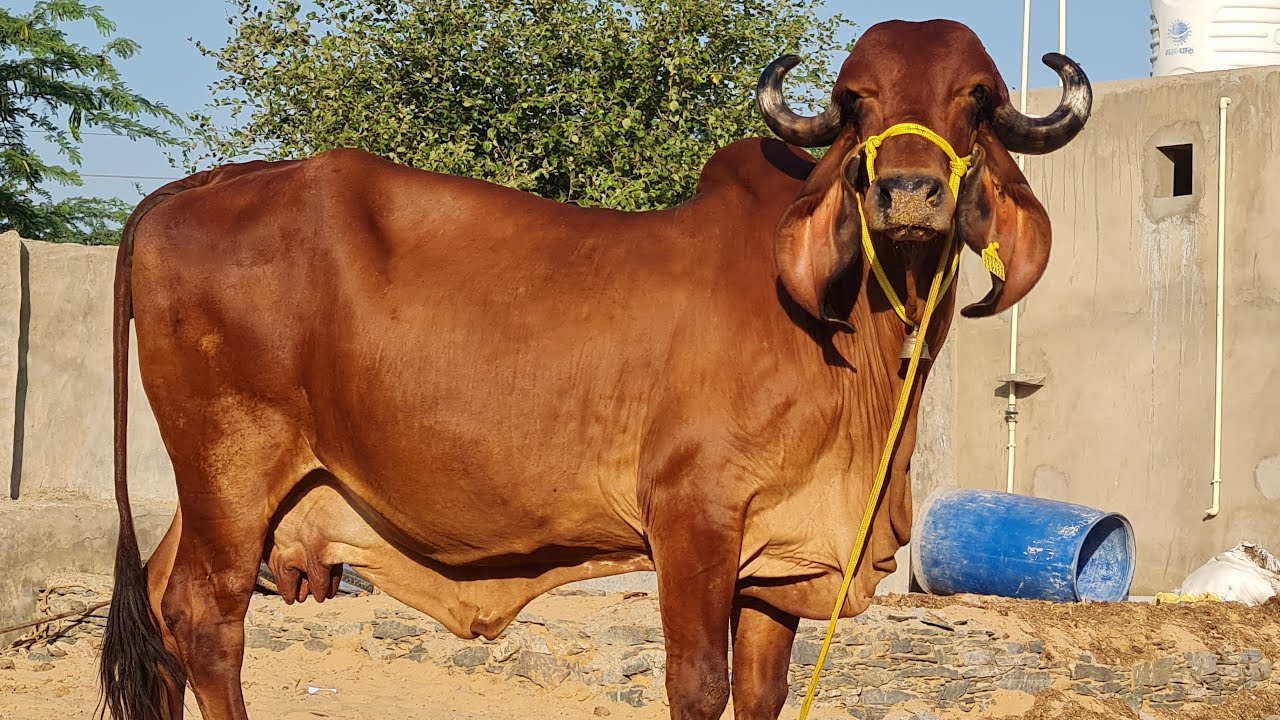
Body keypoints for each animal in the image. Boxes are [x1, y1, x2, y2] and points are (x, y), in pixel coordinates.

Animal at [98, 18, 1090, 720]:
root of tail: (202, 184)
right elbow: (698, 685)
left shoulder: (774, 559)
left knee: (159, 606)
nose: (909, 193)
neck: (856, 345)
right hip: (232, 469)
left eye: (976, 97)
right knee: (205, 620)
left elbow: (761, 692)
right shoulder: (692, 518)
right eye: (856, 102)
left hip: (225, 490)